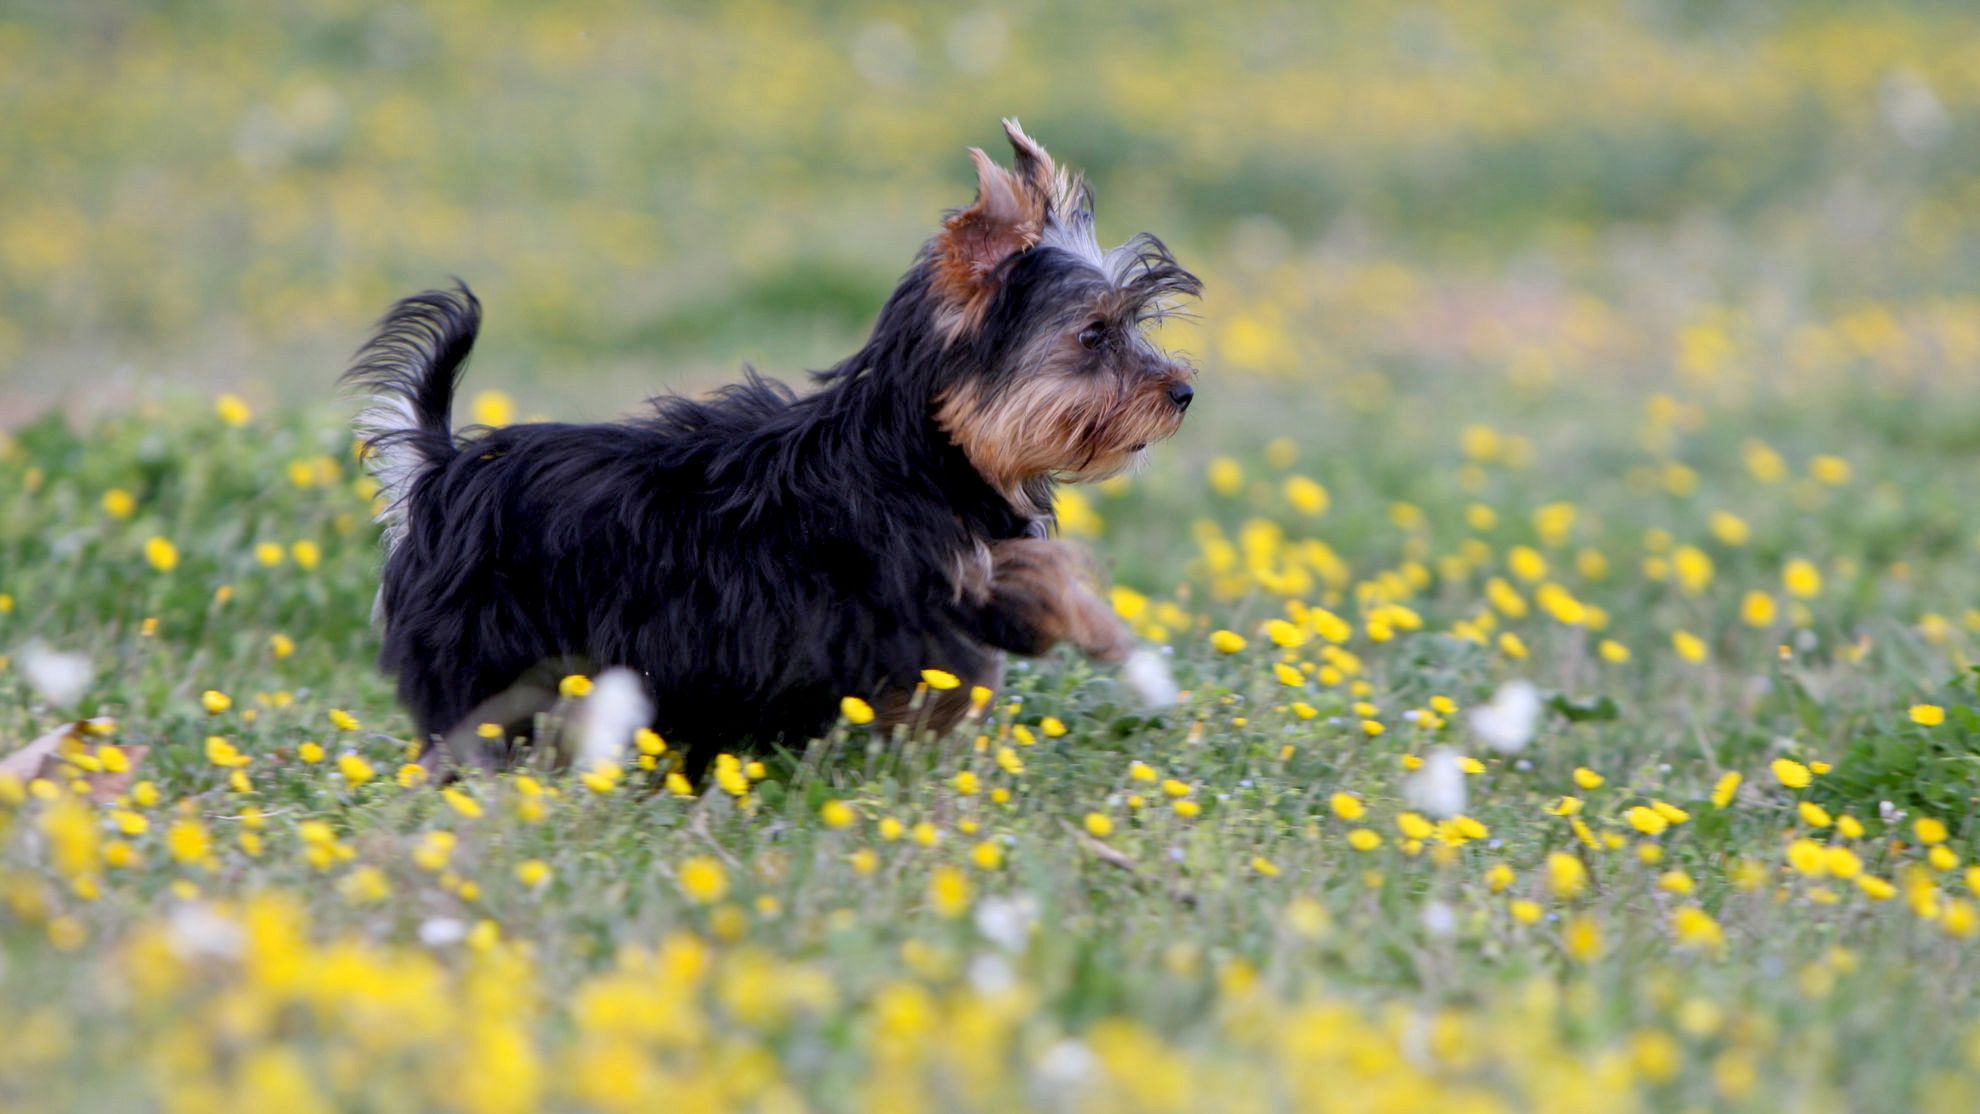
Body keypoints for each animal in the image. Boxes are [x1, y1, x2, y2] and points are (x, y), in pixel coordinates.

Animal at [348, 119, 1195, 775]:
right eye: (1093, 335)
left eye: (1132, 326)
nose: (1182, 392)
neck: (924, 451)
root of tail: (442, 472)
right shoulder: (905, 591)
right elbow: (1031, 586)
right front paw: (1114, 641)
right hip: (482, 644)